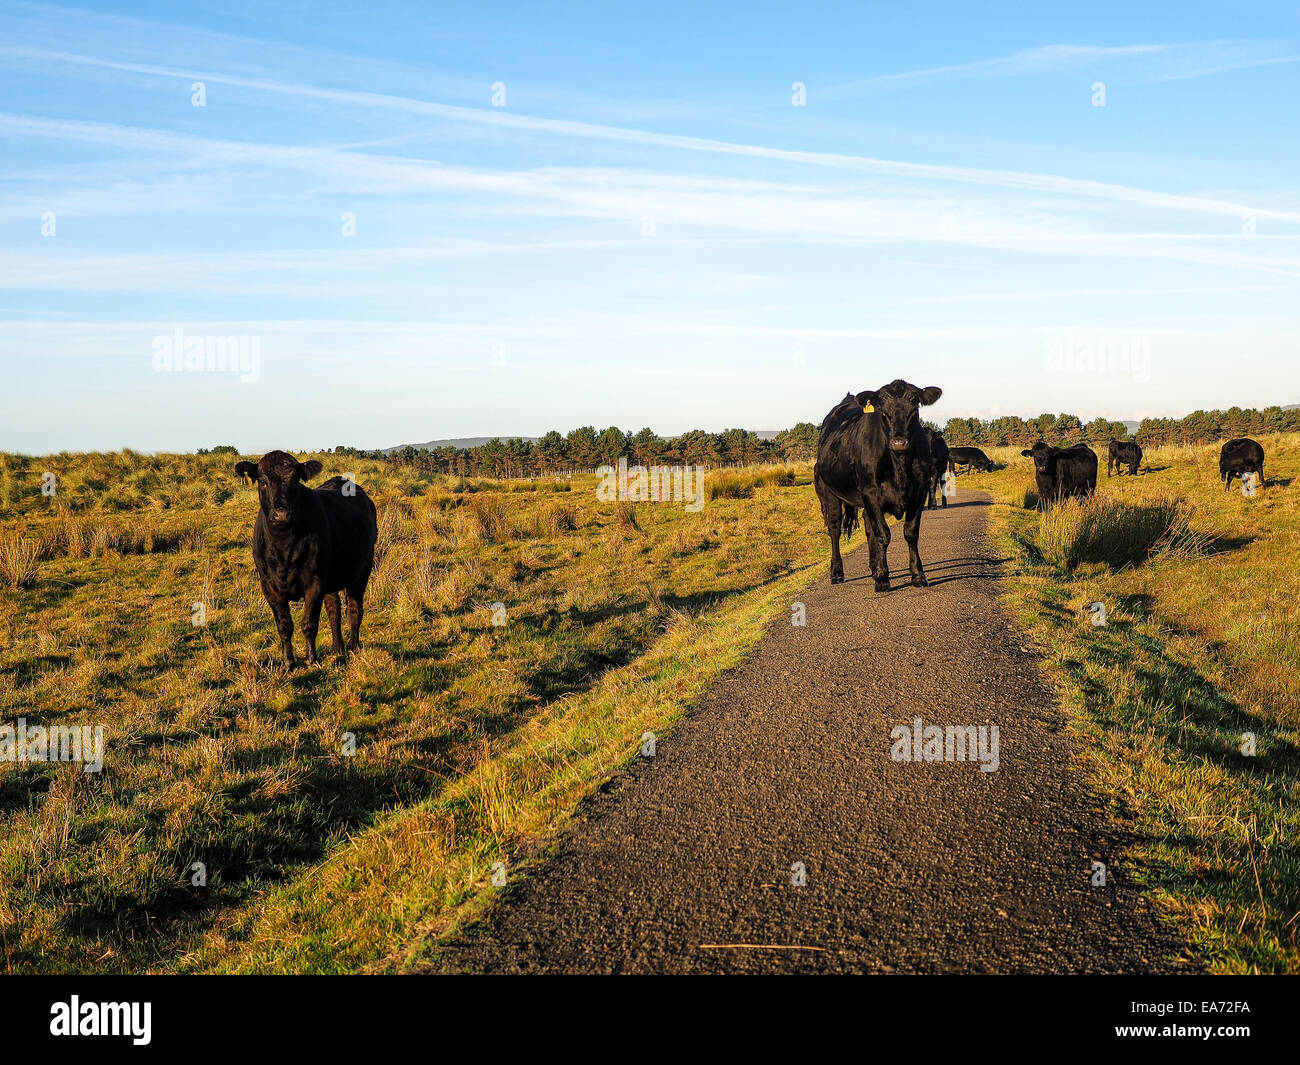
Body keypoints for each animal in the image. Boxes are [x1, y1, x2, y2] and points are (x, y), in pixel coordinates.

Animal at [234, 451, 378, 670]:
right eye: (262, 480)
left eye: (295, 480)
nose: (281, 514)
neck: (283, 547)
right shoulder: (269, 586)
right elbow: (284, 626)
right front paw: (288, 663)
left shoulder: (314, 582)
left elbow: (309, 623)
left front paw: (312, 659)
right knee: (334, 609)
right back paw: (338, 649)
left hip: (362, 571)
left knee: (355, 609)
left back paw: (353, 648)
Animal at [814, 379, 943, 591]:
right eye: (882, 409)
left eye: (915, 404)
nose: (899, 442)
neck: (899, 466)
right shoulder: (871, 493)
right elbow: (883, 534)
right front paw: (883, 579)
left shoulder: (919, 491)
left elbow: (911, 533)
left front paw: (918, 575)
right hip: (828, 492)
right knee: (835, 529)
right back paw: (837, 573)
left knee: (868, 528)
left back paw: (874, 567)